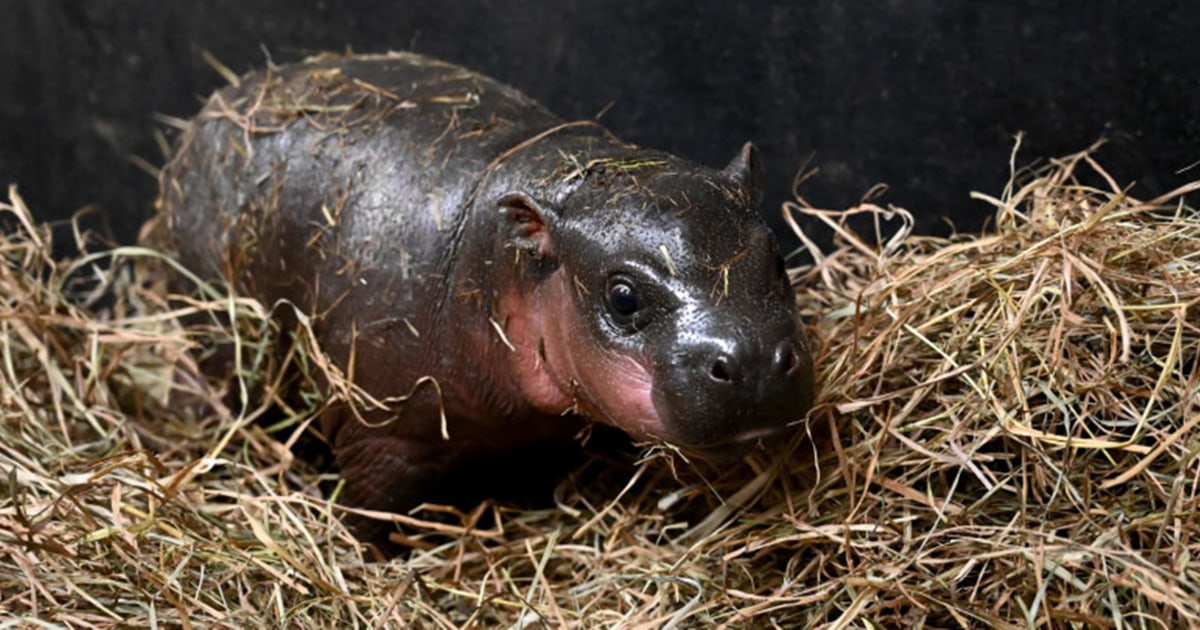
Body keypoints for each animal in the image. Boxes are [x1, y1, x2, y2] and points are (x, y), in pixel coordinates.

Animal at [155, 51, 814, 551]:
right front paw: (370, 558)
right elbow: (369, 514)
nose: (755, 360)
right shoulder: (381, 436)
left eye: (777, 258)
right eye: (624, 297)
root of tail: (219, 103)